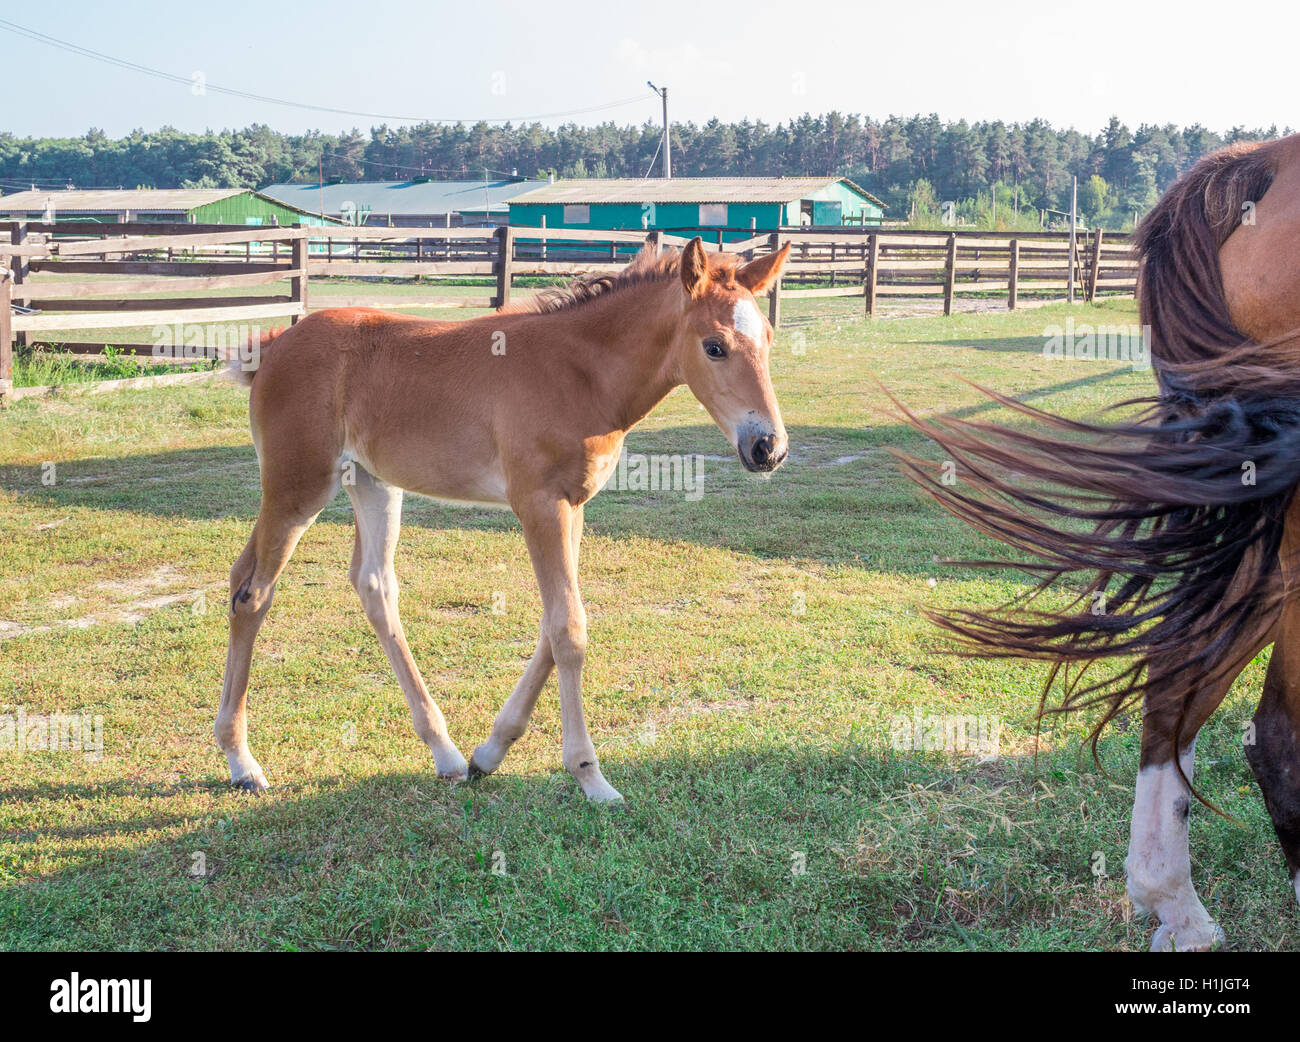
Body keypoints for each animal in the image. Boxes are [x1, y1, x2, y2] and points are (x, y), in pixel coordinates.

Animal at [216, 237, 791, 803]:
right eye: (714, 346)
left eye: (767, 339)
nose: (768, 448)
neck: (578, 373)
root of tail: (273, 346)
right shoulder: (539, 505)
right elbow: (569, 630)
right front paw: (589, 775)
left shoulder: (573, 506)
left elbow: (552, 626)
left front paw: (490, 753)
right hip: (298, 488)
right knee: (253, 594)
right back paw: (242, 761)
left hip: (372, 485)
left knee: (368, 585)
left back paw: (445, 752)